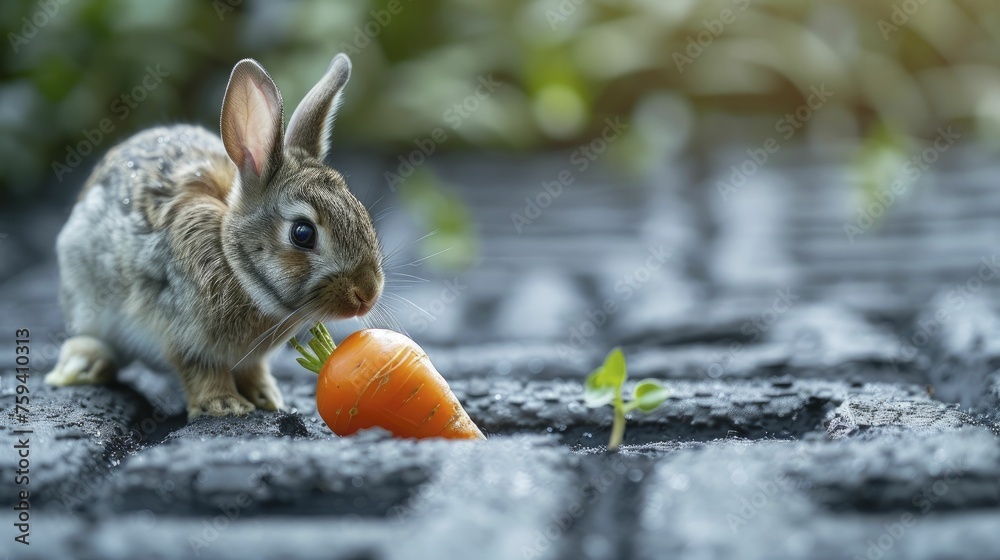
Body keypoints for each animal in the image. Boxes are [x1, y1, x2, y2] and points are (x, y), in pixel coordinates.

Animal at [44, 53, 385, 419]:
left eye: (359, 209)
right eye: (303, 233)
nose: (367, 294)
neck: (231, 258)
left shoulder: (248, 358)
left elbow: (253, 371)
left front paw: (267, 397)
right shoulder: (183, 333)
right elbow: (200, 370)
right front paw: (225, 405)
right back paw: (82, 367)